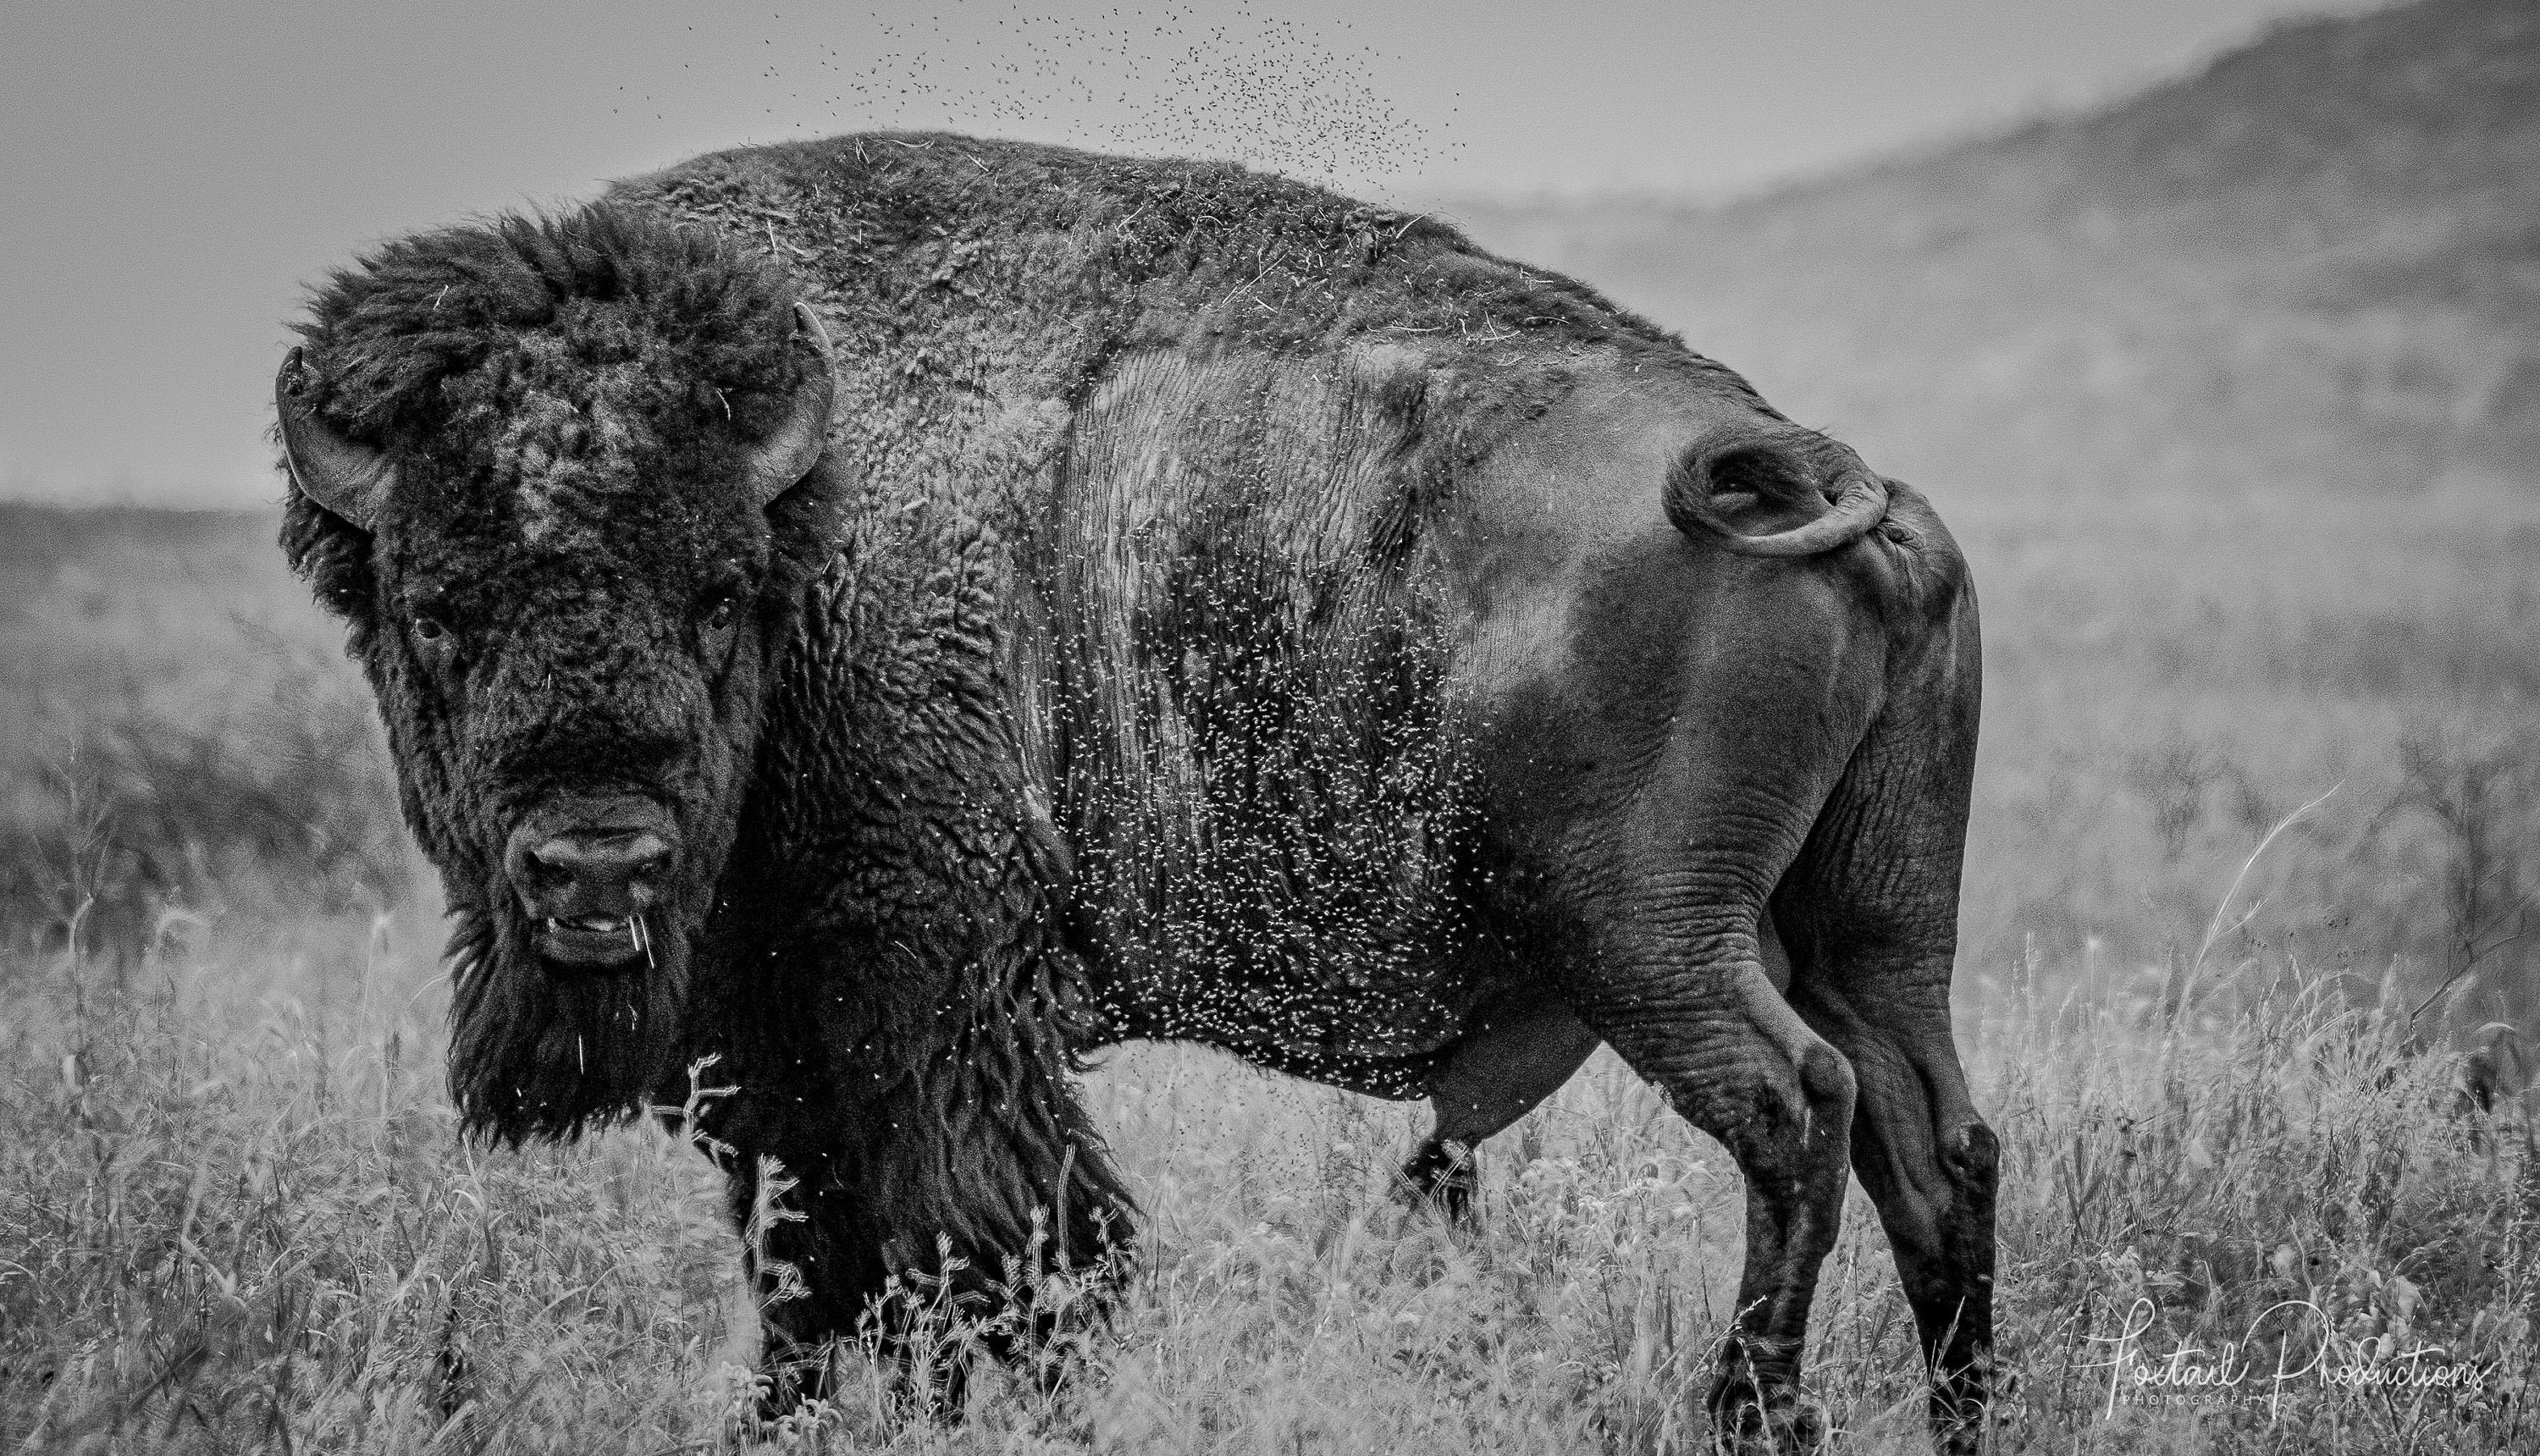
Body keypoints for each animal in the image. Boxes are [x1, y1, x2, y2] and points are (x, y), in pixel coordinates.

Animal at [275, 133, 1994, 1450]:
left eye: (716, 595)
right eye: (434, 606)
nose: (597, 868)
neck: (817, 525)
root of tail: (1818, 468)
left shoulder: (920, 999)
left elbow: (989, 1249)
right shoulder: (778, 1056)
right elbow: (818, 1266)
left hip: (1653, 941)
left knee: (1796, 1110)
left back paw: (1751, 1413)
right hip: (1871, 936)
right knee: (1935, 1145)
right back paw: (1964, 1412)